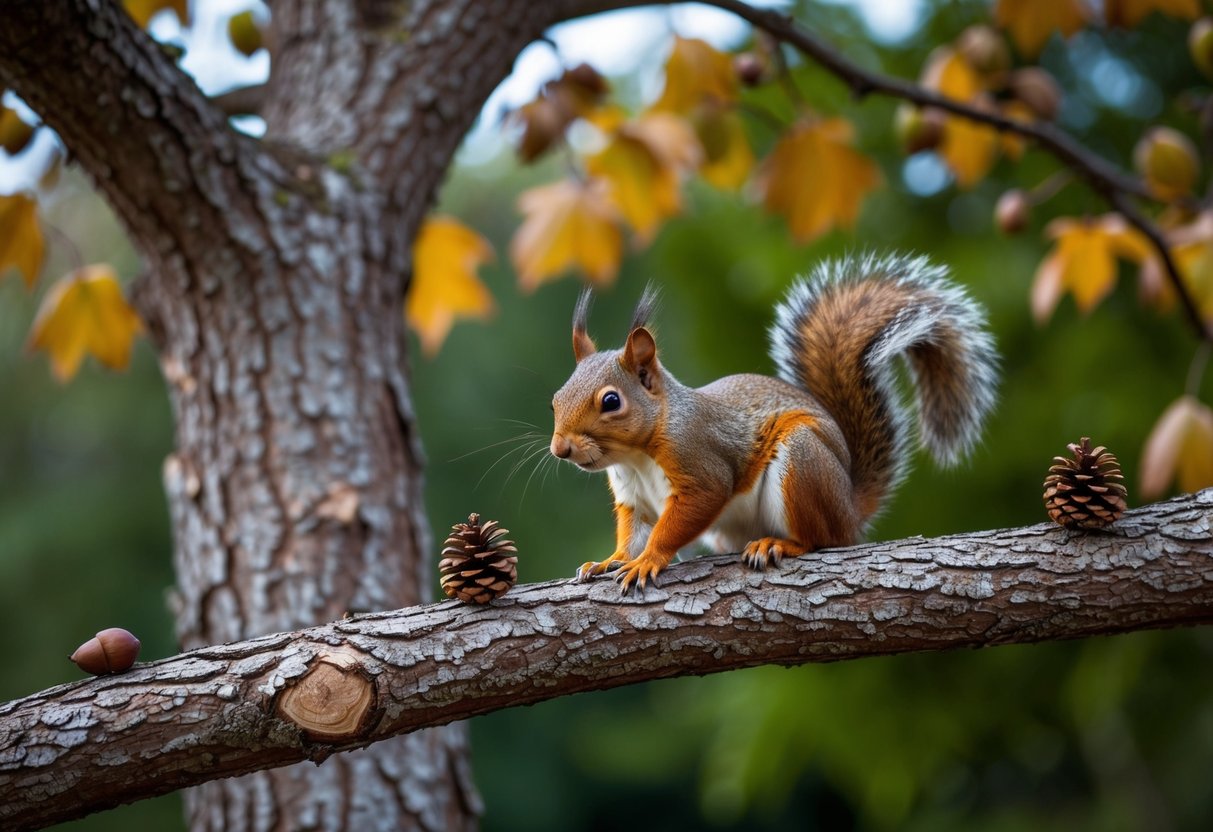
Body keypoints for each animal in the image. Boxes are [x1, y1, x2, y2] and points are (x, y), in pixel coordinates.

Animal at [549, 253, 998, 593]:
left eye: (611, 401)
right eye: (555, 399)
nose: (560, 449)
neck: (637, 455)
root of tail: (850, 507)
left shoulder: (701, 463)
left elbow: (680, 519)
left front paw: (649, 561)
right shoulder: (634, 499)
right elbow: (633, 534)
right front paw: (610, 561)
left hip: (803, 462)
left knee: (824, 539)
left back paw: (779, 545)